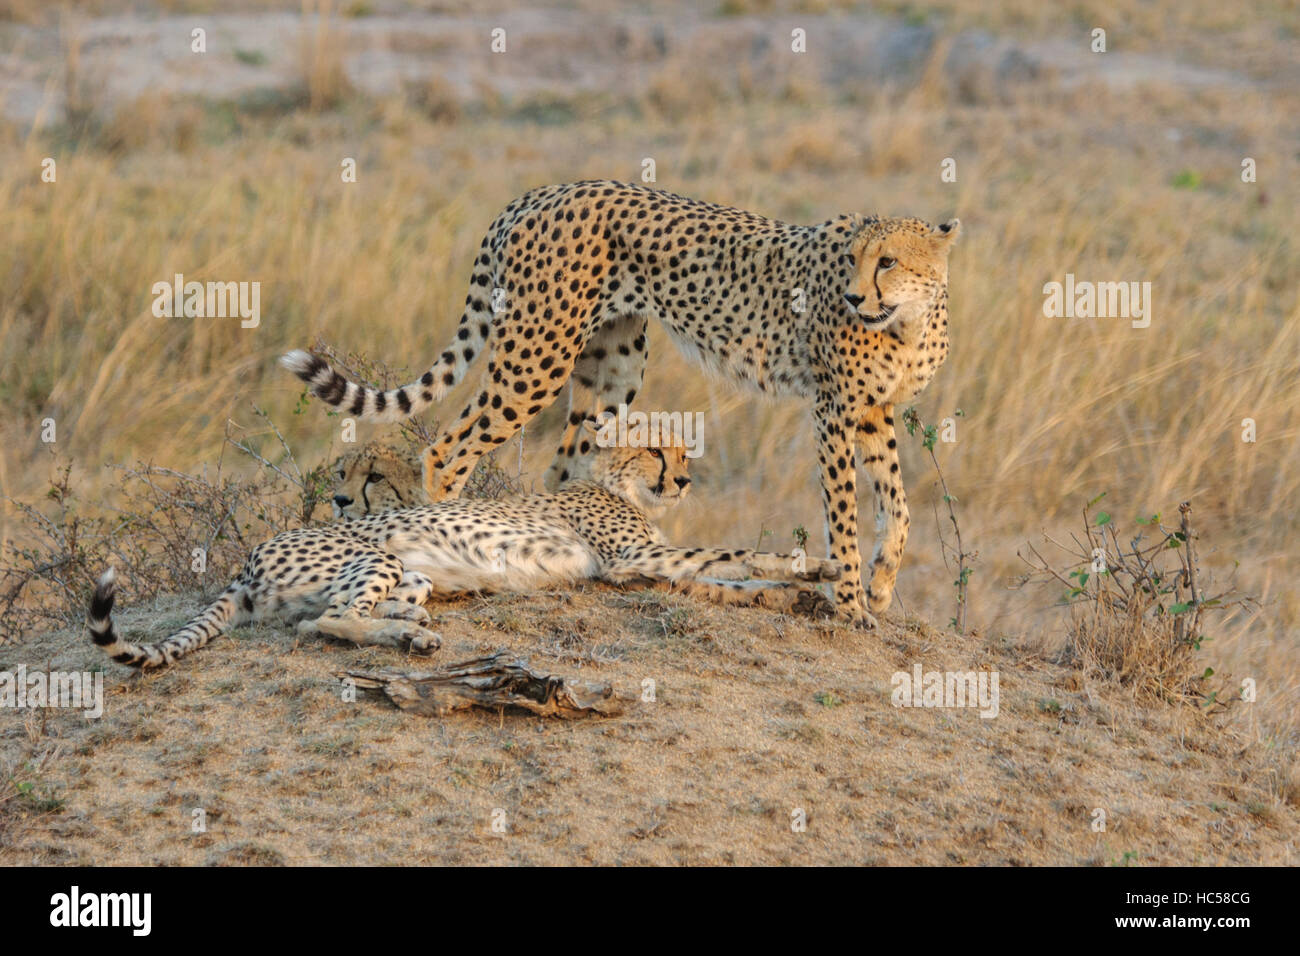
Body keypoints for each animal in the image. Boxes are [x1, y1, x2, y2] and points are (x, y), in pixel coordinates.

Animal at [87, 428, 842, 669]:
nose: (683, 479)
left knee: (347, 611)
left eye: (685, 450)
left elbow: (724, 580)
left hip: (413, 572)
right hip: (380, 555)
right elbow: (728, 555)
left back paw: (412, 620)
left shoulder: (646, 569)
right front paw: (810, 564)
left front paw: (797, 594)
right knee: (323, 621)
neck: (614, 485)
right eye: (658, 450)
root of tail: (248, 557)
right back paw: (410, 640)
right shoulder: (632, 563)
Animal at [282, 180, 960, 627]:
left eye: (887, 260)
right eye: (853, 258)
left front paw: (881, 587)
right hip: (538, 353)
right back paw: (458, 540)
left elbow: (897, 506)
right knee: (449, 450)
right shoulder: (833, 408)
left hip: (614, 363)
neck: (907, 319)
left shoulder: (873, 410)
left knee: (571, 464)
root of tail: (539, 193)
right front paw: (851, 601)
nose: (853, 297)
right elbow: (844, 512)